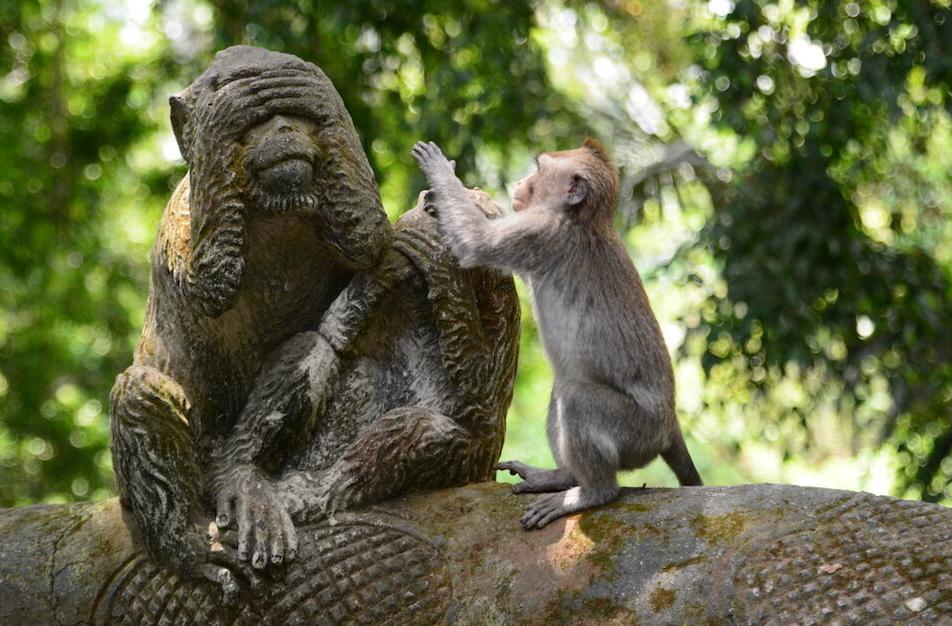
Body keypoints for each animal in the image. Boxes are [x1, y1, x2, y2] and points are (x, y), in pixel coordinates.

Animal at [412, 138, 702, 529]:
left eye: (538, 168)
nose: (521, 181)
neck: (581, 219)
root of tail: (669, 425)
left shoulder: (543, 232)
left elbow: (476, 242)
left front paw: (439, 169)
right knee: (561, 389)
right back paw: (562, 477)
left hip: (638, 432)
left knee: (576, 397)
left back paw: (591, 492)